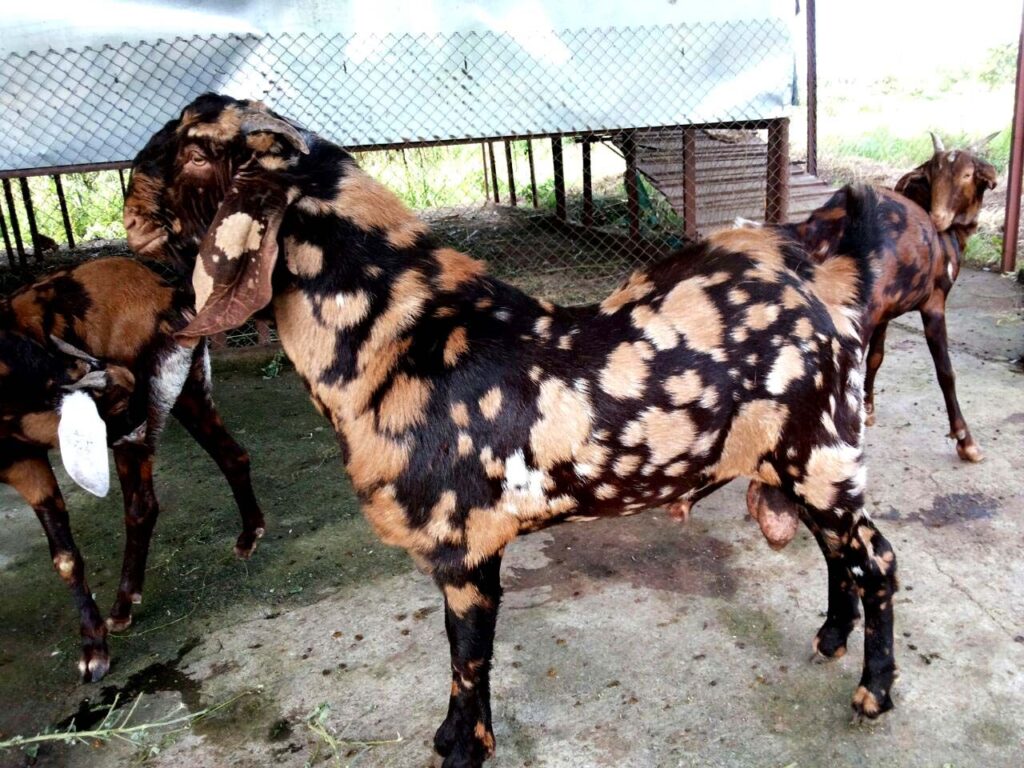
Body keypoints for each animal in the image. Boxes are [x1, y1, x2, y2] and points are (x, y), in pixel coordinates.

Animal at [1, 257, 264, 681]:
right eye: (115, 402)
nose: (144, 421)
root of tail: (169, 292)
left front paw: (94, 652)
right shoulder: (19, 459)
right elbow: (65, 556)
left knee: (142, 507)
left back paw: (123, 607)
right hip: (187, 389)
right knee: (232, 455)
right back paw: (249, 535)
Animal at [125, 94, 899, 767]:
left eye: (191, 147)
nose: (130, 207)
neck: (399, 340)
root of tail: (828, 294)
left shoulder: (465, 548)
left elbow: (468, 660)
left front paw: (463, 750)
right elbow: (463, 658)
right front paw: (451, 737)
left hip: (822, 457)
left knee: (878, 560)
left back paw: (874, 691)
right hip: (800, 467)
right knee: (839, 555)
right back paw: (831, 638)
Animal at [779, 133, 996, 462]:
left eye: (967, 174)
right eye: (935, 172)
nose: (938, 218)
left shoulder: (885, 312)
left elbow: (877, 357)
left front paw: (869, 408)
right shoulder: (934, 302)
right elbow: (945, 371)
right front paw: (965, 440)